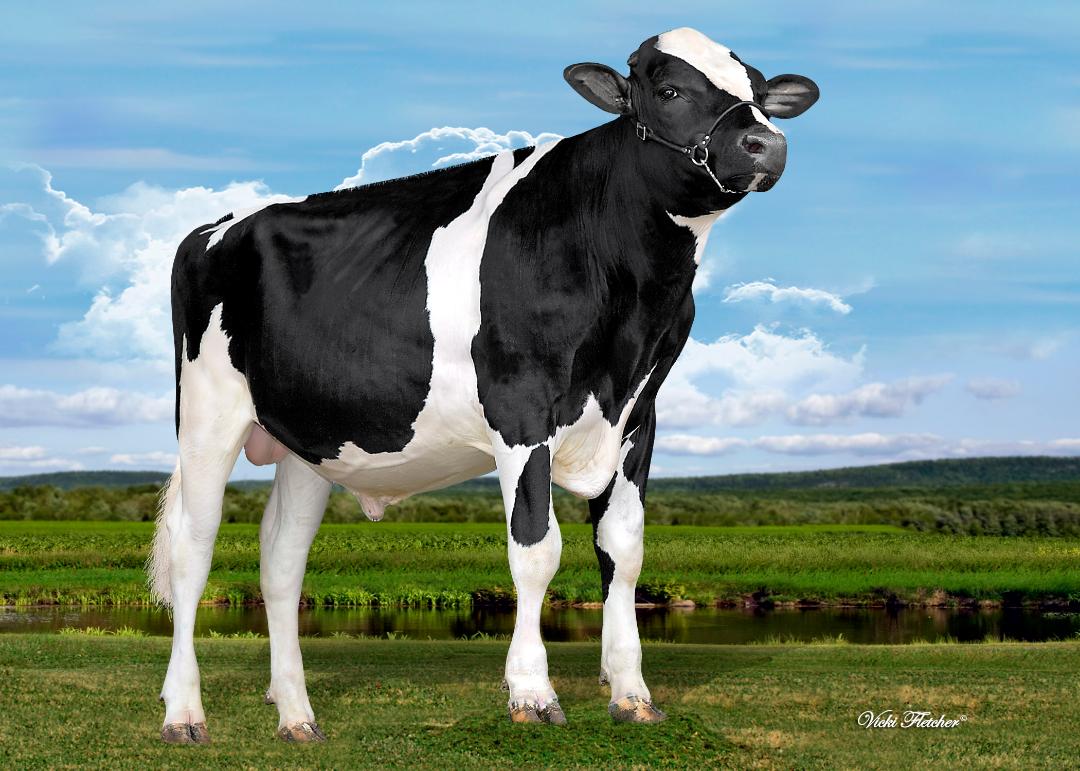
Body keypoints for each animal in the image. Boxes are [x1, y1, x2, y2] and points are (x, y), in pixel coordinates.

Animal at [149, 26, 818, 743]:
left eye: (760, 92)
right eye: (668, 90)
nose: (767, 144)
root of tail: (215, 226)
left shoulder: (639, 416)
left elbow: (624, 551)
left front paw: (631, 693)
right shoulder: (520, 409)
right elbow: (536, 549)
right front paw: (531, 692)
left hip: (310, 441)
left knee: (280, 561)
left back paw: (296, 713)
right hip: (207, 414)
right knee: (192, 551)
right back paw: (184, 713)